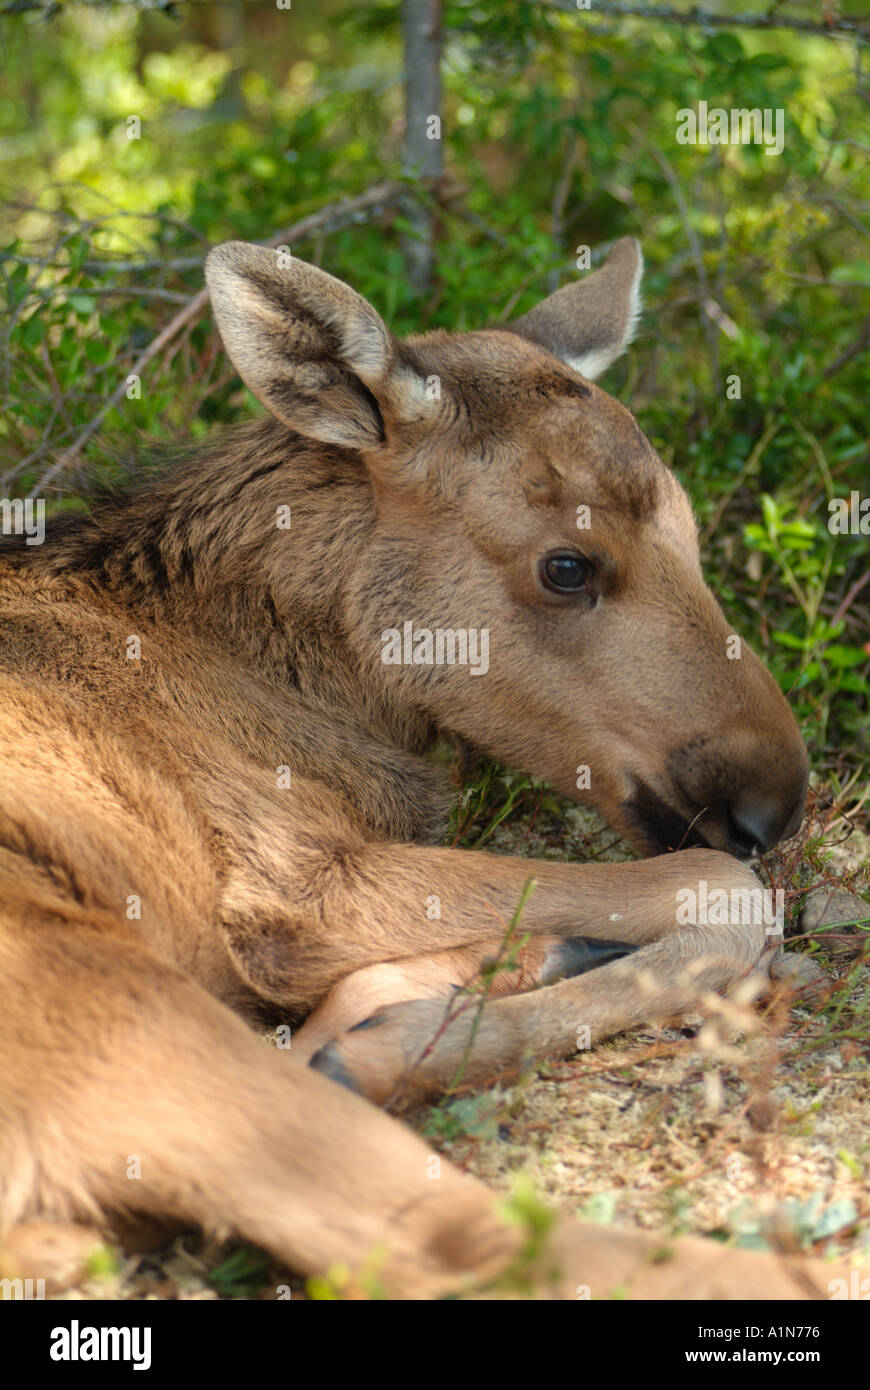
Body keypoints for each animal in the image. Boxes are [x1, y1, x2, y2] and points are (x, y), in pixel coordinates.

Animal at [0, 236, 838, 1300]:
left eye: (691, 529)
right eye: (568, 565)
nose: (775, 803)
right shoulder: (299, 888)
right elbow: (724, 888)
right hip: (115, 999)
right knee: (450, 1236)